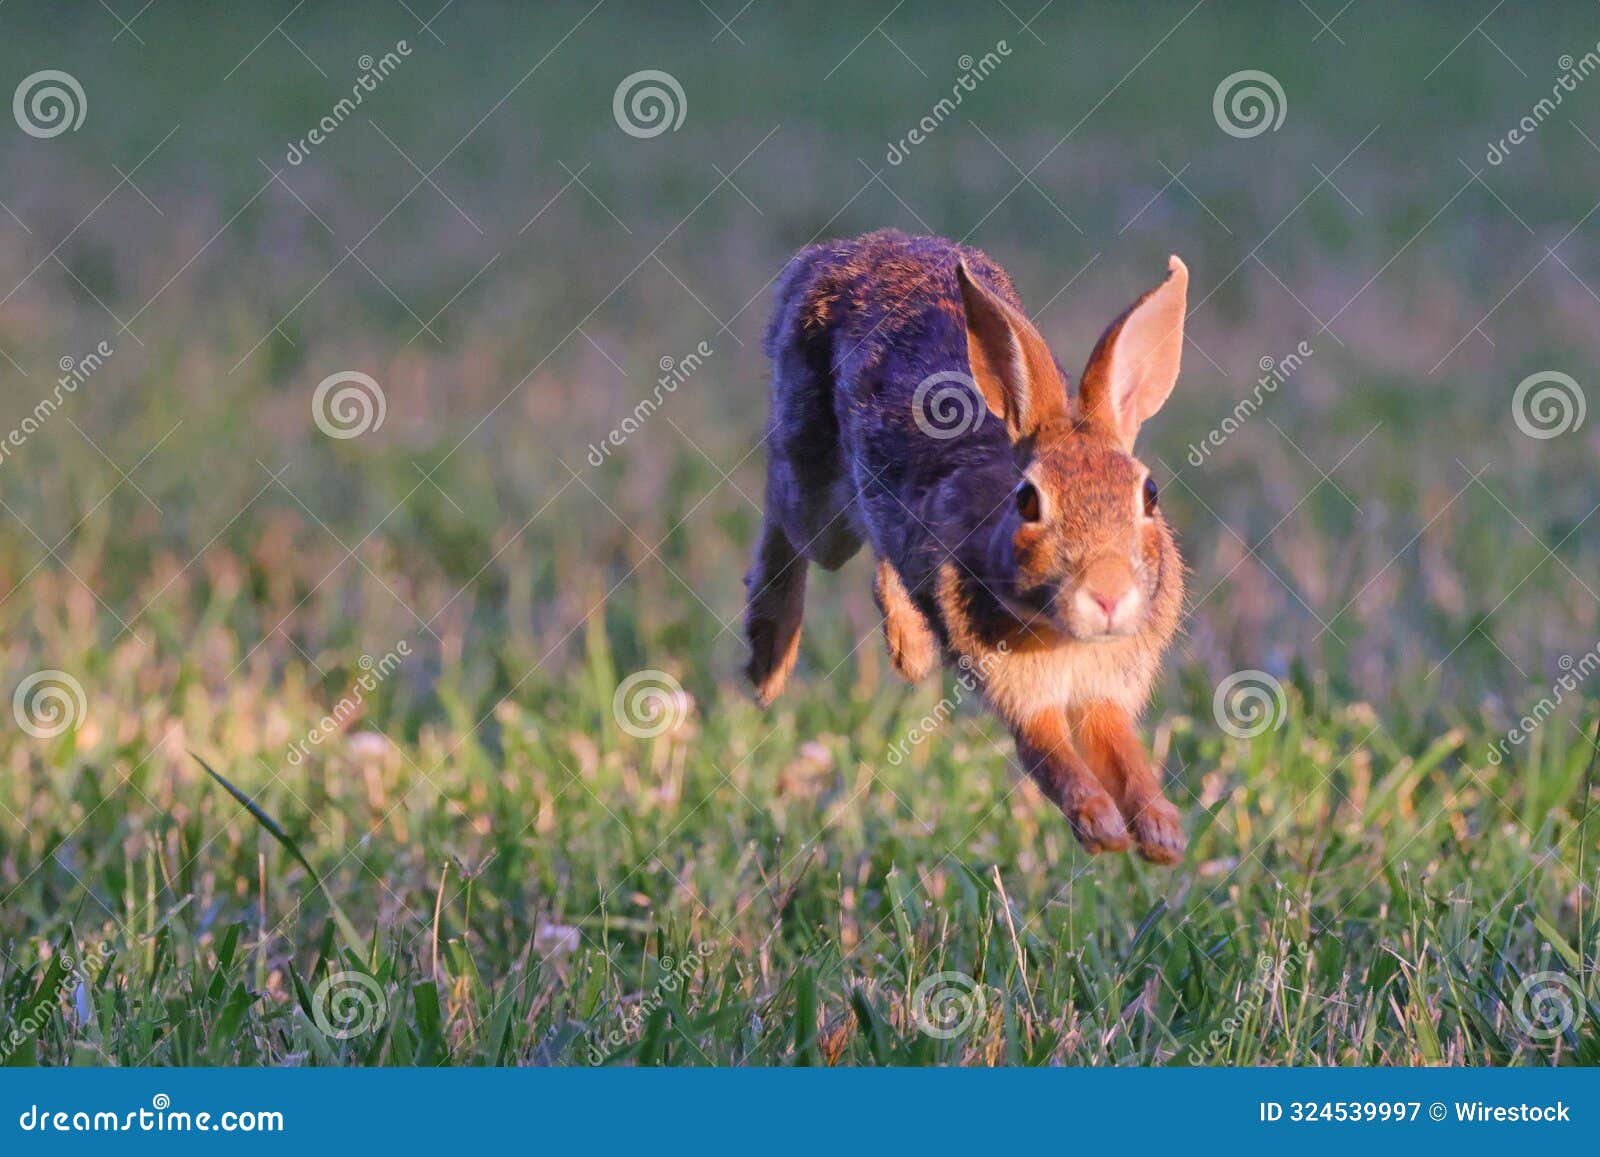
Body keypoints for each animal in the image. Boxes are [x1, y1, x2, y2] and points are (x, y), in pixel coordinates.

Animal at [744, 229, 1189, 864]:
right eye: (1028, 502)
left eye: (1149, 494)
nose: (1107, 595)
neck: (1065, 635)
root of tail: (839, 251)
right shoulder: (1022, 692)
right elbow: (1051, 756)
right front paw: (1100, 826)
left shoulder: (1105, 690)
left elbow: (1124, 756)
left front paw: (1160, 835)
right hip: (817, 496)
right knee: (787, 519)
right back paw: (768, 663)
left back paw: (909, 652)